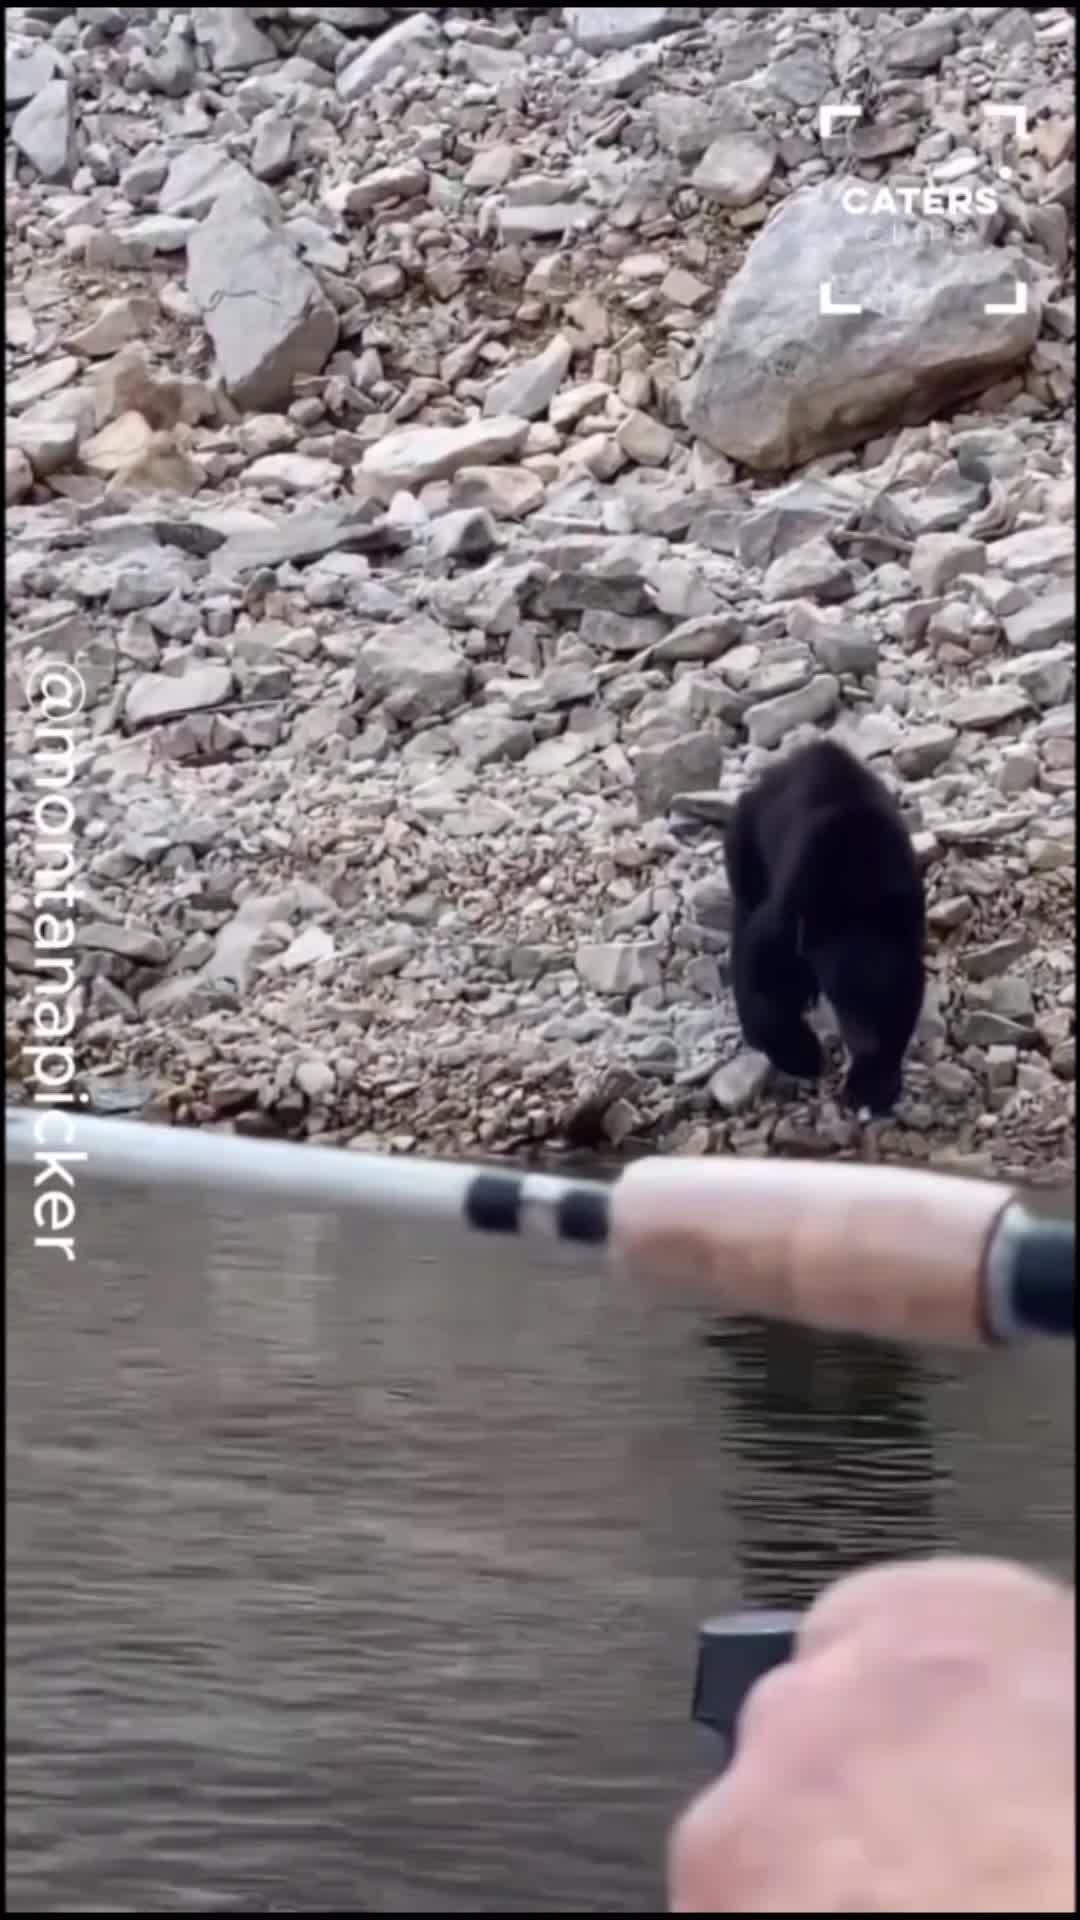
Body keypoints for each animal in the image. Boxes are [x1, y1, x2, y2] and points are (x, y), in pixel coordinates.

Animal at [723, 736, 926, 1116]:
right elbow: (759, 966)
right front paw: (800, 1053)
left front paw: (871, 1085)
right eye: (841, 996)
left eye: (881, 1001)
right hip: (747, 841)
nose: (863, 1044)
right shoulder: (794, 907)